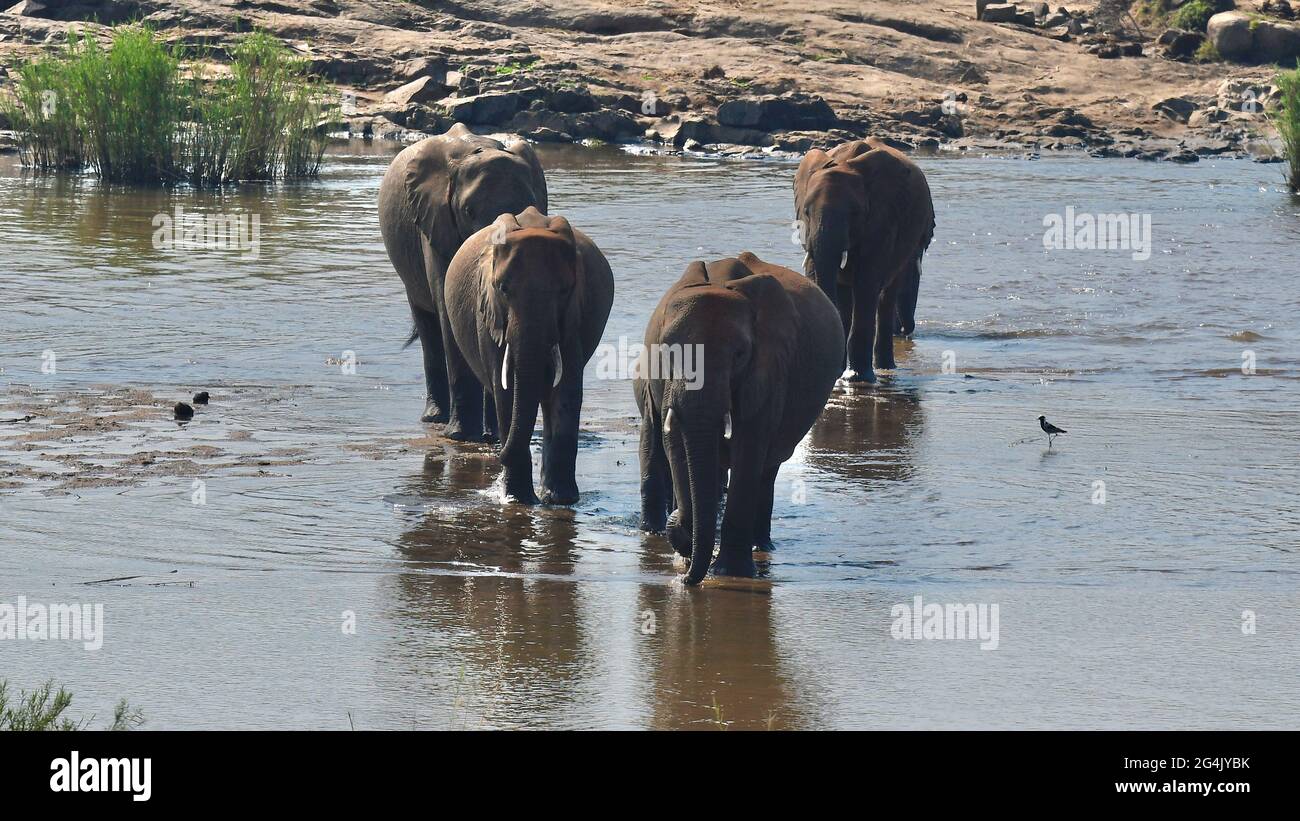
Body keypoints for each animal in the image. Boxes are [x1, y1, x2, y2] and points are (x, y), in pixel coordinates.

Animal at [378, 122, 548, 432]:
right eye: (469, 211)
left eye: (530, 207)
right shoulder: (435, 223)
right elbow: (450, 309)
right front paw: (461, 435)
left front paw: (492, 435)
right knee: (429, 328)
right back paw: (435, 418)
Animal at [444, 207, 614, 505]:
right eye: (502, 289)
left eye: (564, 290)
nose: (500, 456)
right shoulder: (488, 314)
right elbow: (507, 390)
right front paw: (517, 499)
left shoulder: (574, 316)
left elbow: (566, 389)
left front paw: (559, 500)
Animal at [635, 252, 844, 584]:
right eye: (668, 352)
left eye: (739, 355)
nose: (684, 580)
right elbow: (676, 444)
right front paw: (686, 547)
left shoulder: (770, 371)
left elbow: (750, 448)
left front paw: (729, 572)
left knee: (767, 469)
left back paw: (761, 546)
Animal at [794, 137, 935, 383]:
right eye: (807, 212)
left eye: (855, 213)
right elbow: (815, 270)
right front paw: (837, 374)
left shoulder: (883, 219)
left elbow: (867, 280)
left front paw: (857, 378)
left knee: (886, 294)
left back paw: (884, 368)